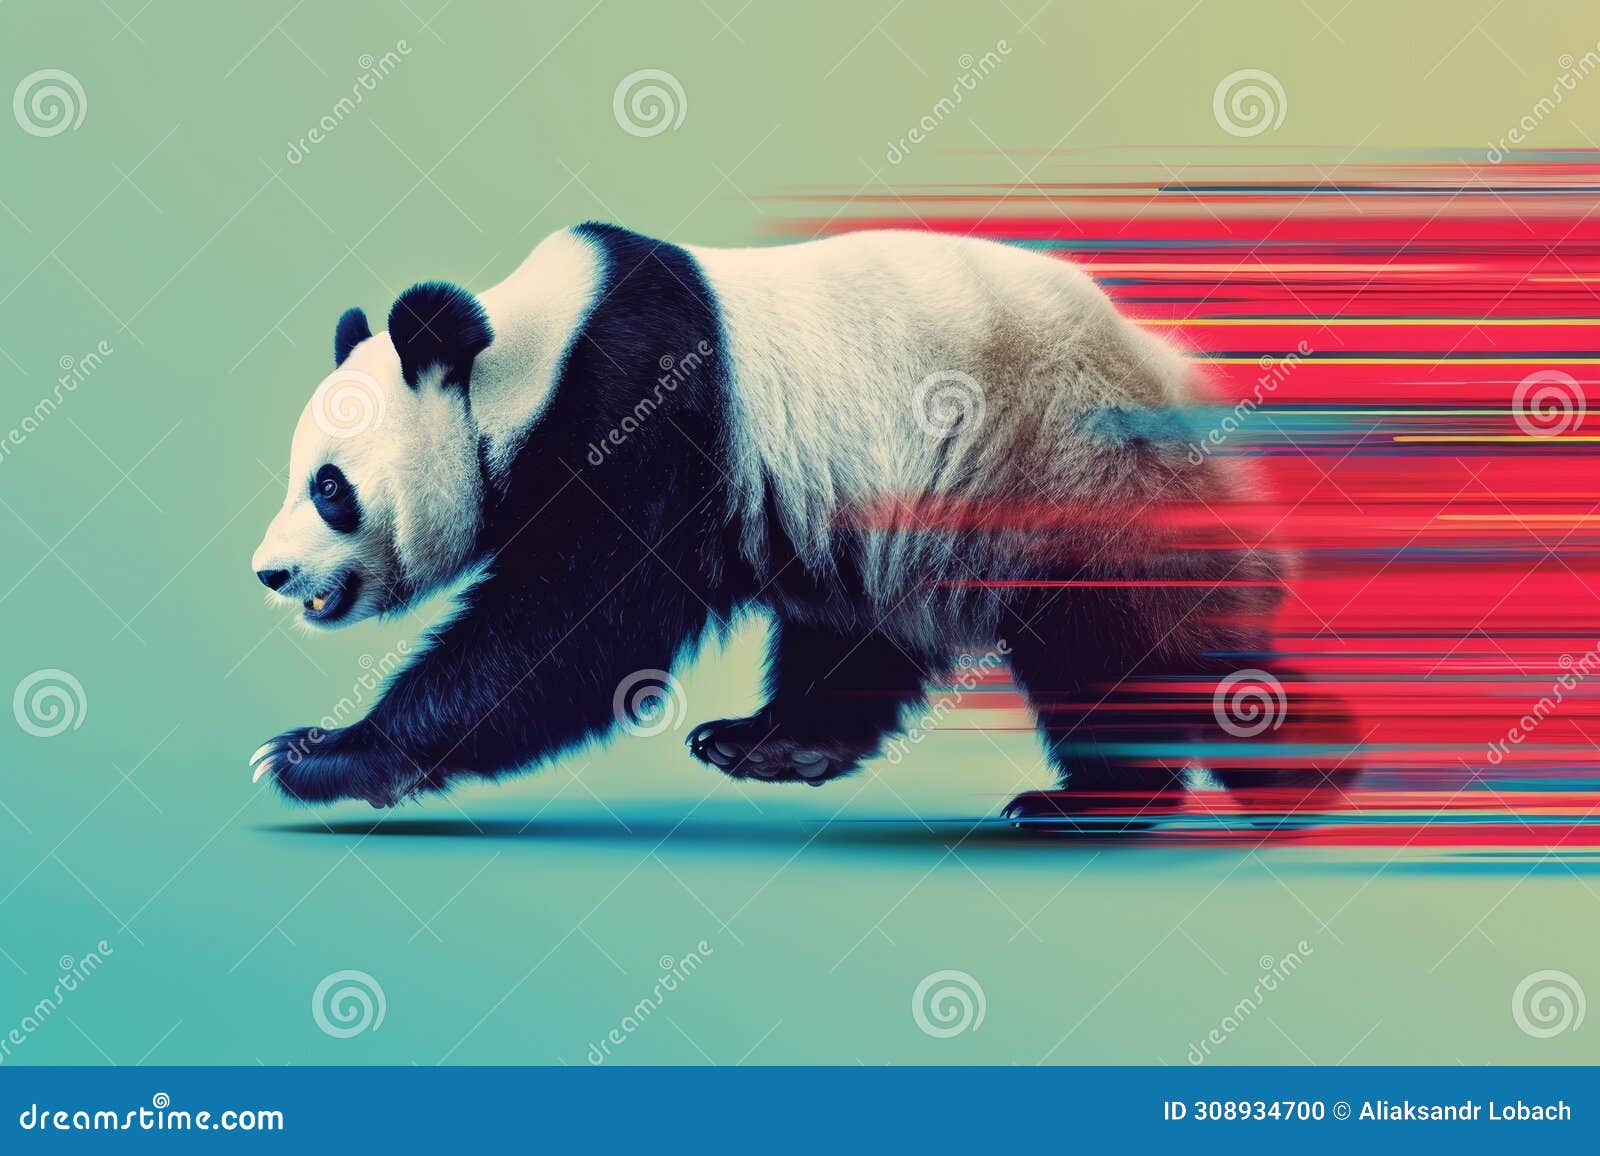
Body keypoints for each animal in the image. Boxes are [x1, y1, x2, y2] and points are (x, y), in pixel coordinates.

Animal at [249, 222, 1360, 818]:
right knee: (860, 628)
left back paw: (1119, 799)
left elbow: (572, 624)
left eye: (330, 487)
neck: (524, 356)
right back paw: (772, 744)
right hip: (892, 503)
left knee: (1122, 651)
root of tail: (1171, 375)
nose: (270, 574)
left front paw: (321, 752)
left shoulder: (640, 405)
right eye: (299, 474)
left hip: (1069, 472)